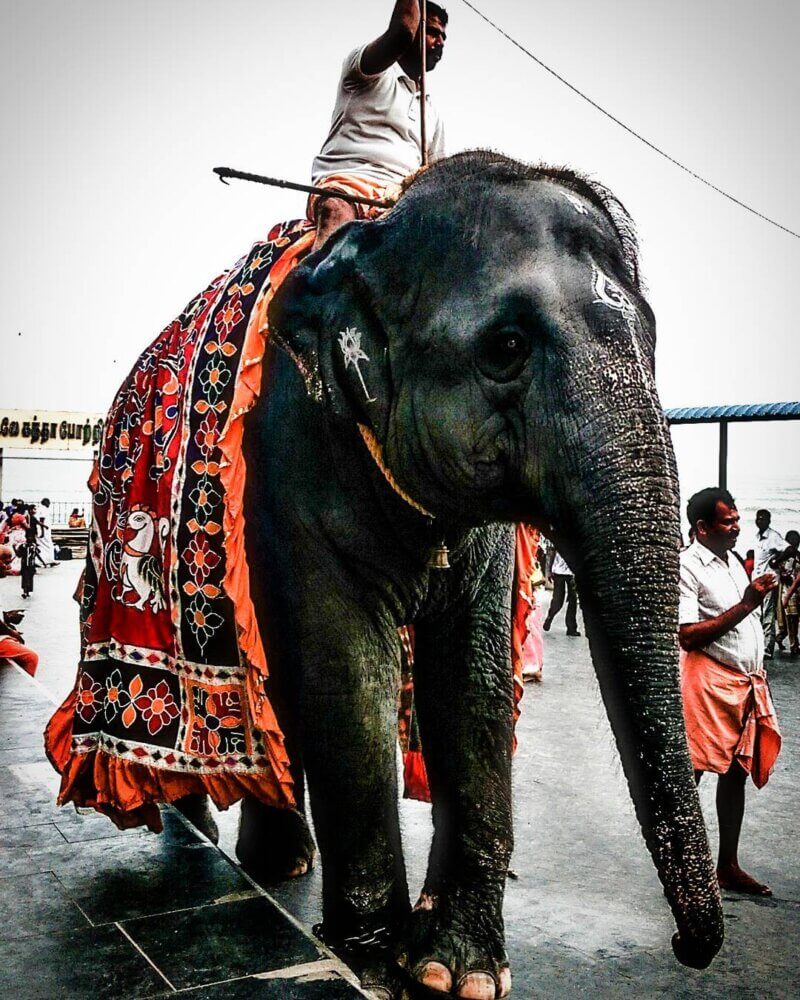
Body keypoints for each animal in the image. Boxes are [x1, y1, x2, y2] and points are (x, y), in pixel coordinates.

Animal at [229, 150, 724, 997]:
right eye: (507, 347)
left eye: (654, 342)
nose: (686, 948)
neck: (375, 234)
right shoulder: (294, 454)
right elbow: (342, 674)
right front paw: (372, 961)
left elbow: (476, 674)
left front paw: (455, 973)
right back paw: (279, 861)